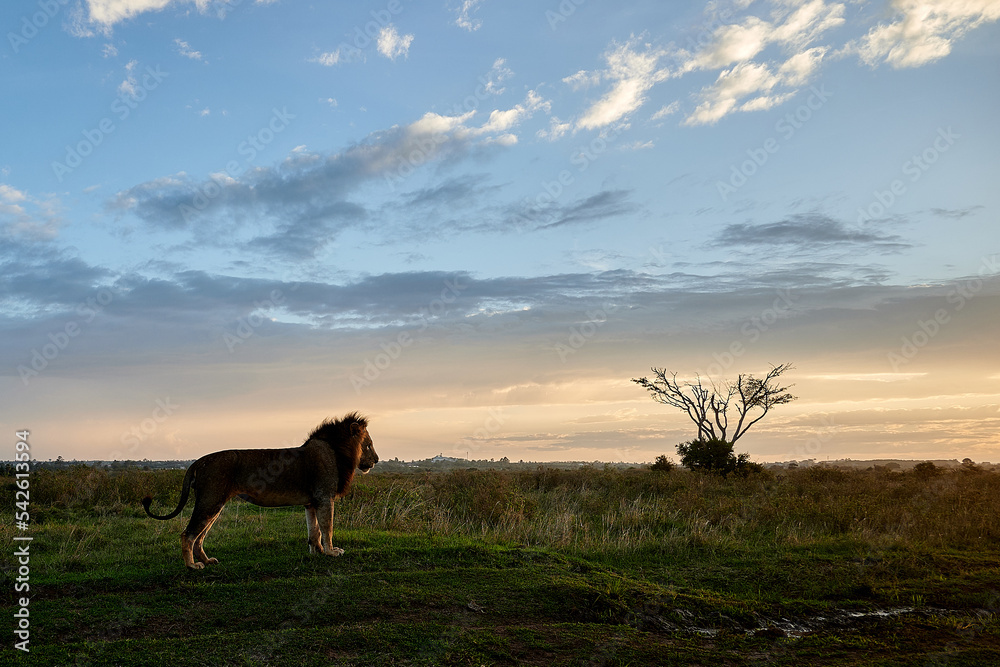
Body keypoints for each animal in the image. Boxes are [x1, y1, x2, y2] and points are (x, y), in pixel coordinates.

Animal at [142, 412, 378, 569]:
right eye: (368, 445)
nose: (376, 460)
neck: (338, 451)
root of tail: (198, 461)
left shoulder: (312, 502)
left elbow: (314, 531)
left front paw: (317, 552)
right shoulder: (324, 497)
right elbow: (327, 528)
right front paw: (331, 552)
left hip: (214, 503)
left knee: (199, 536)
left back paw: (207, 560)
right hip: (211, 500)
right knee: (188, 534)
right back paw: (192, 566)